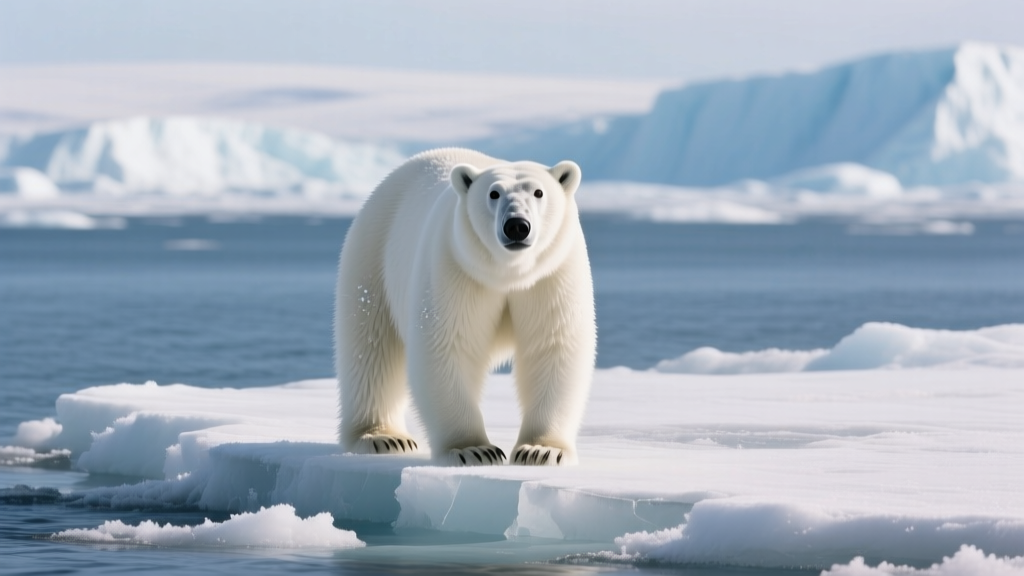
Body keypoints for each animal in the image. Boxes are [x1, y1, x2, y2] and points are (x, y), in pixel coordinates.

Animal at [335, 148, 596, 466]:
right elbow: (448, 346)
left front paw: (542, 450)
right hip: (373, 256)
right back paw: (383, 437)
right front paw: (472, 450)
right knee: (371, 346)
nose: (517, 226)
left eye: (538, 192)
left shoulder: (551, 275)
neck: (508, 273)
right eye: (494, 193)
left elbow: (554, 345)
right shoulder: (456, 268)